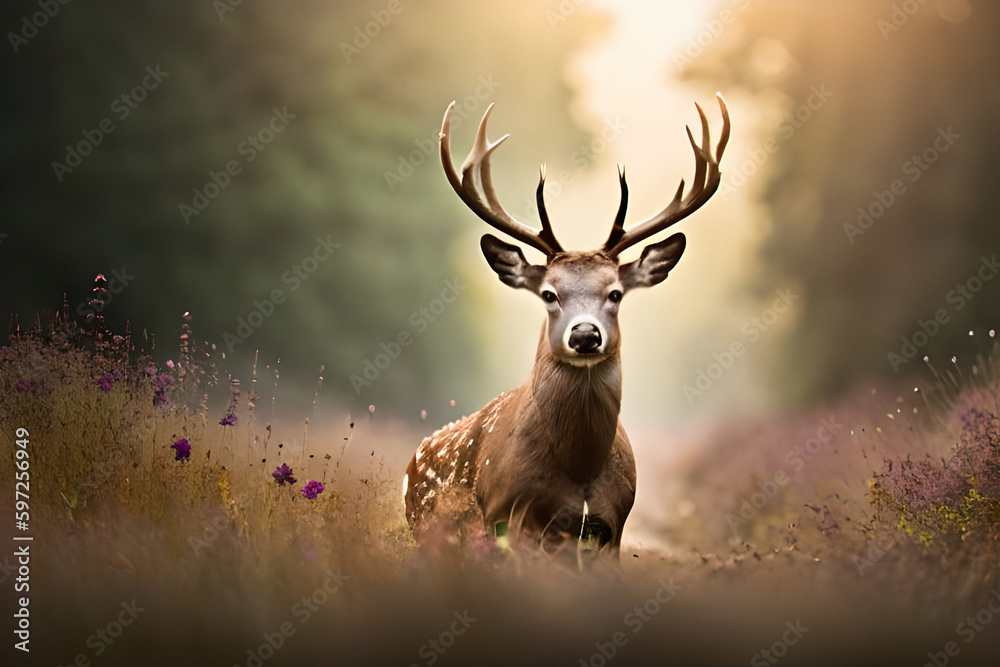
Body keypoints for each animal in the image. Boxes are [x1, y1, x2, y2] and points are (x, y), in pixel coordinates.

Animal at [404, 94, 730, 559]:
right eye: (549, 294)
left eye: (615, 293)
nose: (585, 335)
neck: (580, 467)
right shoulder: (507, 515)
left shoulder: (614, 526)